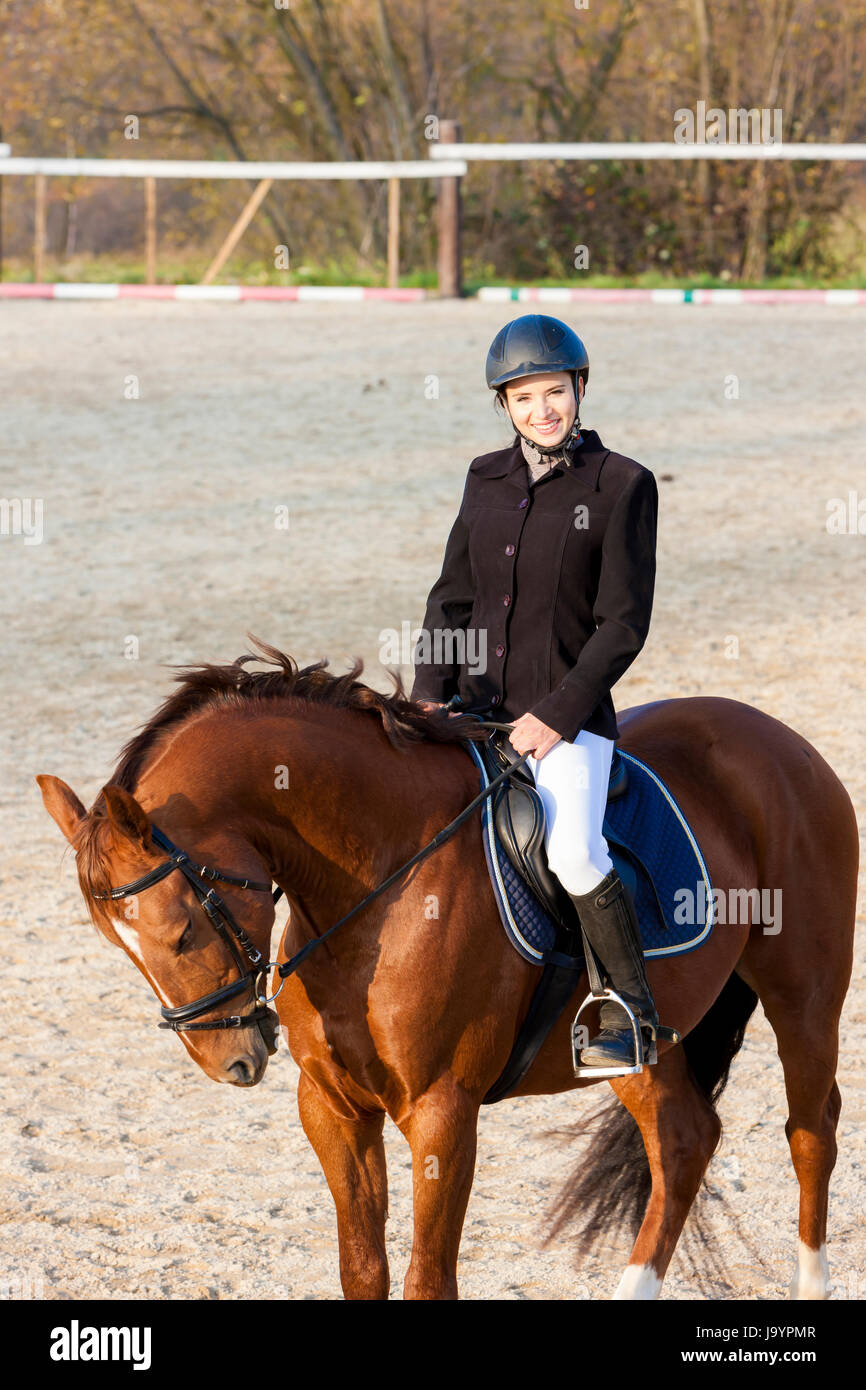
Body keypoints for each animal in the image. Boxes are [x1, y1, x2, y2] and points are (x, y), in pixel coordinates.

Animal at [37, 638, 857, 1300]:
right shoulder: (332, 1106)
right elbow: (362, 1271)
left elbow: (428, 1279)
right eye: (119, 949)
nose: (230, 1061)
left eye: (179, 931)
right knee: (683, 1139)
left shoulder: (442, 1110)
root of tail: (775, 736)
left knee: (811, 1130)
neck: (377, 879)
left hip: (804, 996)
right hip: (638, 1038)